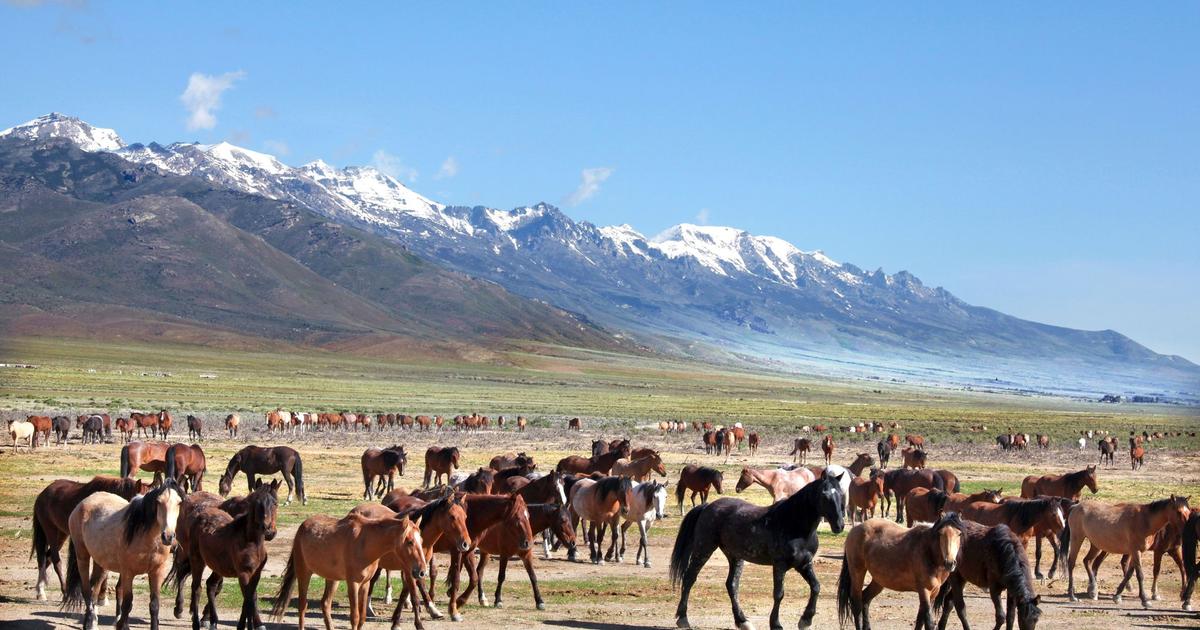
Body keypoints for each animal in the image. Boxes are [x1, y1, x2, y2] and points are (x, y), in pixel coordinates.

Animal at [62, 479, 184, 630]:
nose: (168, 537)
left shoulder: (157, 572)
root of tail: (82, 504)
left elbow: (154, 605)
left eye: (179, 502)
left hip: (101, 564)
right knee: (86, 591)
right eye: (158, 501)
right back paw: (90, 622)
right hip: (82, 556)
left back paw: (91, 624)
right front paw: (121, 625)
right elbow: (127, 604)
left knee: (94, 589)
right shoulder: (127, 573)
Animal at [173, 480, 279, 630]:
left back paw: (212, 621)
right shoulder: (243, 574)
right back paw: (189, 616)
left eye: (275, 503)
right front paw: (248, 626)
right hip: (195, 559)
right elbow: (248, 599)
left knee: (210, 585)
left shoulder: (255, 574)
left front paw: (249, 625)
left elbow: (251, 597)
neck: (251, 542)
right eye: (256, 502)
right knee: (194, 586)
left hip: (217, 565)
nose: (267, 529)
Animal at [270, 509, 425, 630]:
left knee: (325, 604)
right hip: (304, 574)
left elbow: (362, 617)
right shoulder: (353, 584)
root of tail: (302, 527)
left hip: (332, 579)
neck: (365, 543)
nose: (422, 571)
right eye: (410, 542)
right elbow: (355, 617)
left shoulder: (365, 584)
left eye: (421, 541)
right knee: (303, 606)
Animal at [671, 469, 846, 630]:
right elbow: (779, 594)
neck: (794, 524)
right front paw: (776, 624)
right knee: (689, 578)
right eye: (824, 495)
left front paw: (806, 620)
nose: (839, 525)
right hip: (704, 549)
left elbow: (816, 587)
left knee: (732, 585)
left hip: (735, 557)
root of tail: (707, 506)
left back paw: (743, 621)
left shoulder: (804, 564)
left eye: (842, 494)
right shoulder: (779, 565)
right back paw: (683, 618)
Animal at [1062, 495, 1191, 607]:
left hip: (1096, 545)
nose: (1187, 530)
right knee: (1072, 563)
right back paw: (1072, 595)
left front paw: (1117, 596)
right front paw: (1145, 600)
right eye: (1179, 511)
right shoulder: (1136, 551)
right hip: (1077, 539)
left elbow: (1129, 573)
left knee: (1087, 561)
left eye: (1189, 512)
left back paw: (1093, 590)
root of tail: (1076, 506)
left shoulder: (1137, 552)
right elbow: (1140, 575)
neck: (1144, 520)